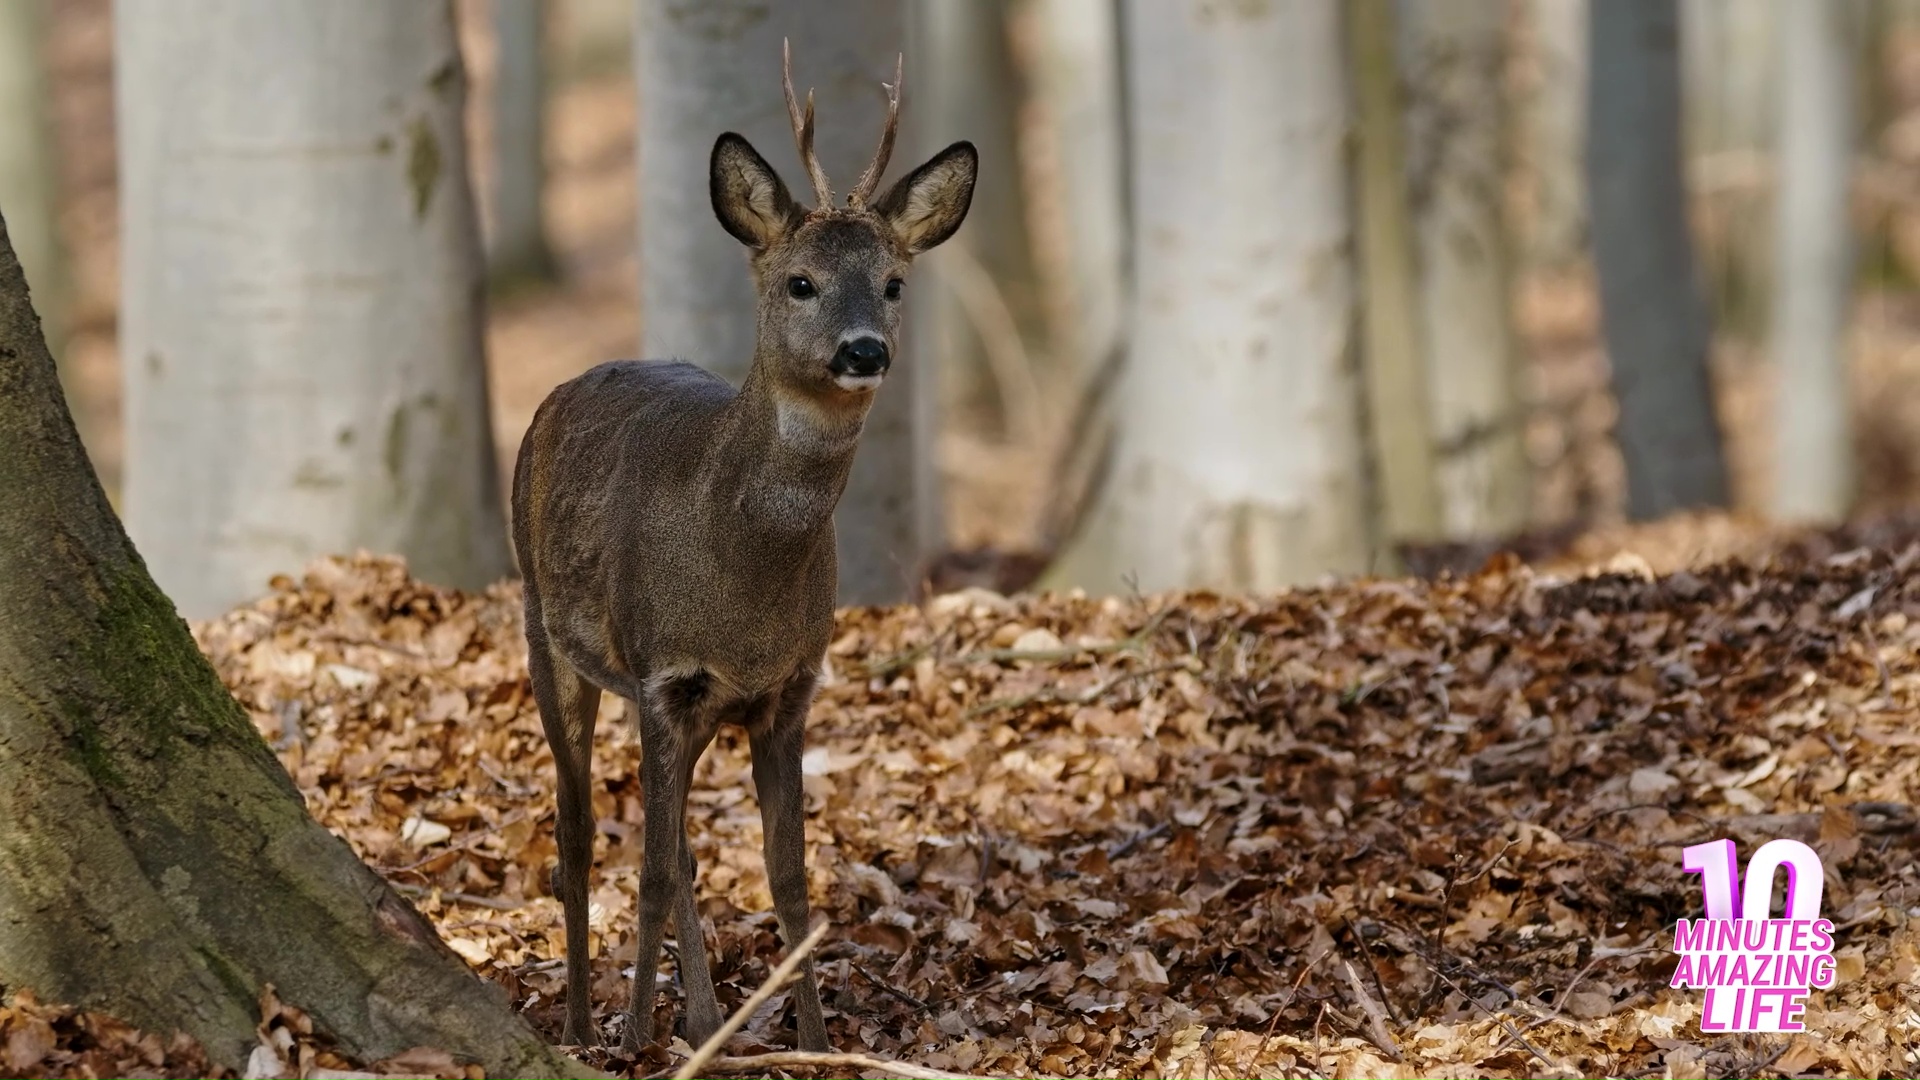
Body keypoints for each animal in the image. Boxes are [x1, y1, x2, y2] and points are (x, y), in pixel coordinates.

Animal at [510, 42, 976, 1054]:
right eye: (800, 282)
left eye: (894, 283)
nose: (864, 350)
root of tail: (558, 389)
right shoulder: (663, 674)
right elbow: (644, 871)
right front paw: (632, 1040)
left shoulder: (789, 687)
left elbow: (788, 877)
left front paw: (814, 1040)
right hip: (541, 623)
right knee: (576, 828)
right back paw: (584, 1019)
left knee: (676, 842)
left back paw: (702, 1013)